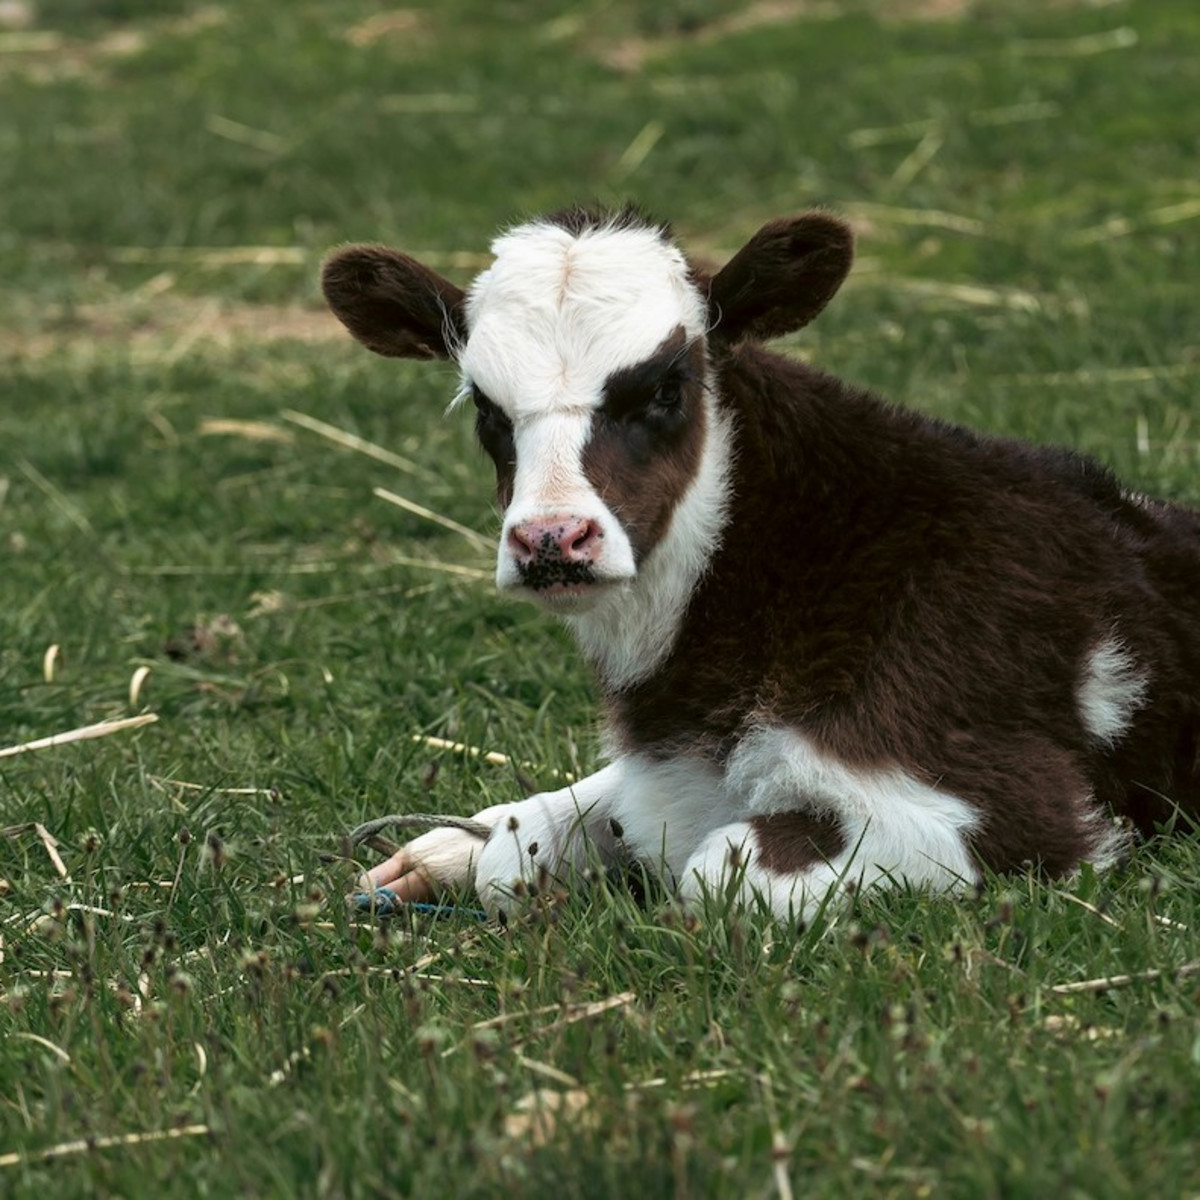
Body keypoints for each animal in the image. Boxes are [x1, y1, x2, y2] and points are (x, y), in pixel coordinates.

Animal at [322, 205, 1200, 923]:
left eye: (666, 388)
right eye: (485, 407)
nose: (551, 540)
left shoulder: (1014, 802)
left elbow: (714, 873)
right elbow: (539, 835)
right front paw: (446, 854)